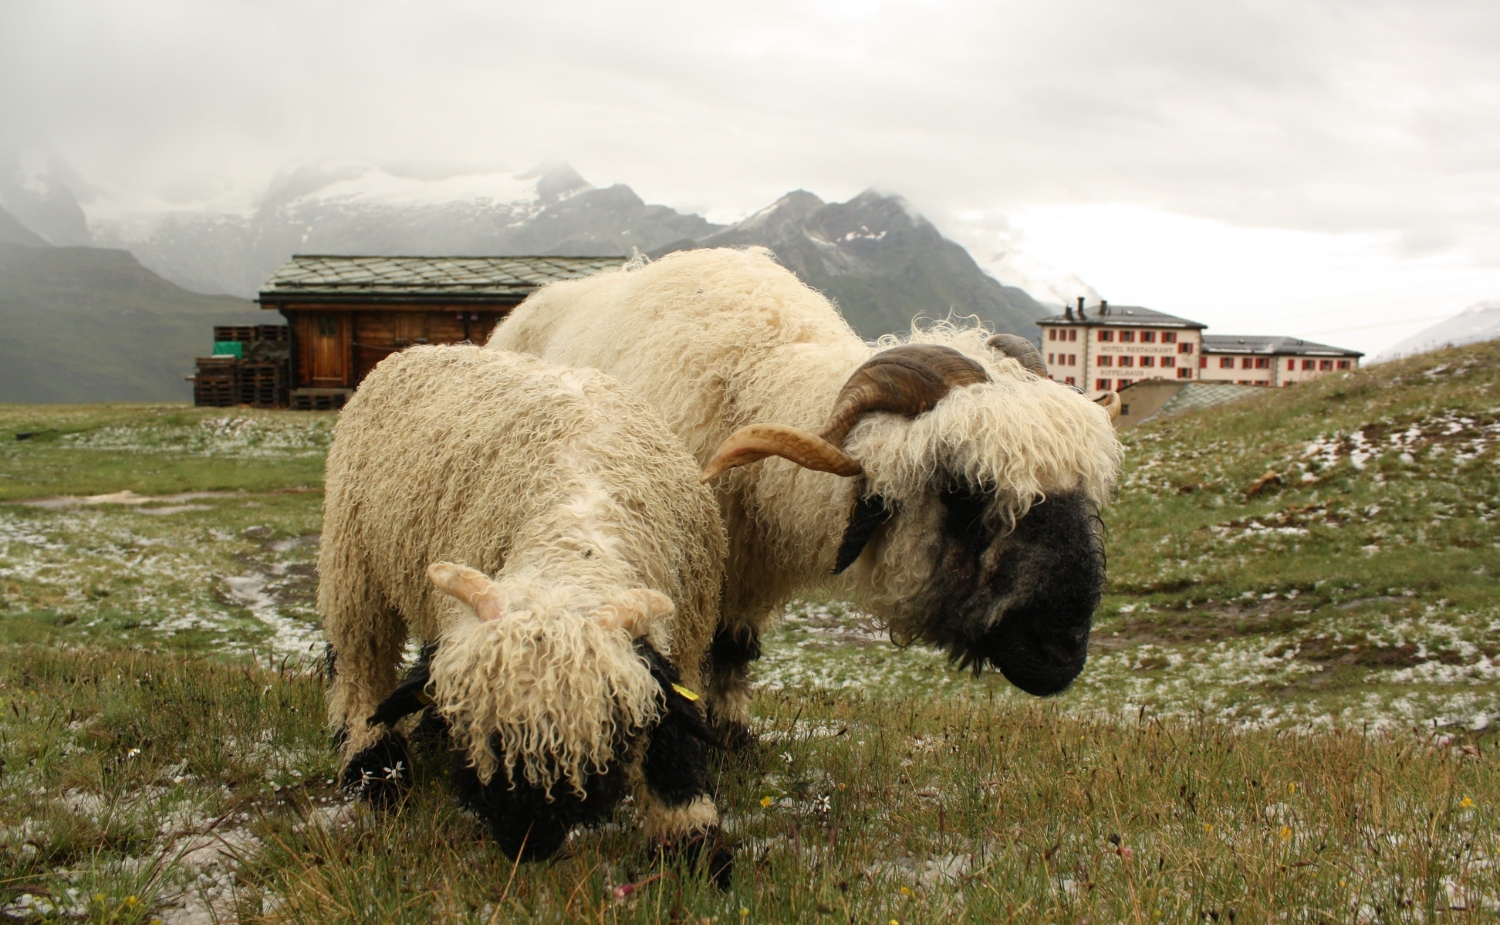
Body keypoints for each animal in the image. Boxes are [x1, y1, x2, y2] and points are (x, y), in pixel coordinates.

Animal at [319, 343, 730, 878]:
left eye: (607, 735)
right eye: (482, 740)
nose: (526, 843)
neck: (576, 541)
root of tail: (414, 349)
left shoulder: (682, 642)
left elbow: (672, 741)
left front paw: (695, 843)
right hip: (353, 560)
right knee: (358, 664)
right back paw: (373, 767)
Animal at [488, 247, 1123, 744]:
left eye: (1086, 492)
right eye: (966, 489)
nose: (1063, 651)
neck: (755, 381)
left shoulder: (746, 570)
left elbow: (735, 647)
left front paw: (735, 731)